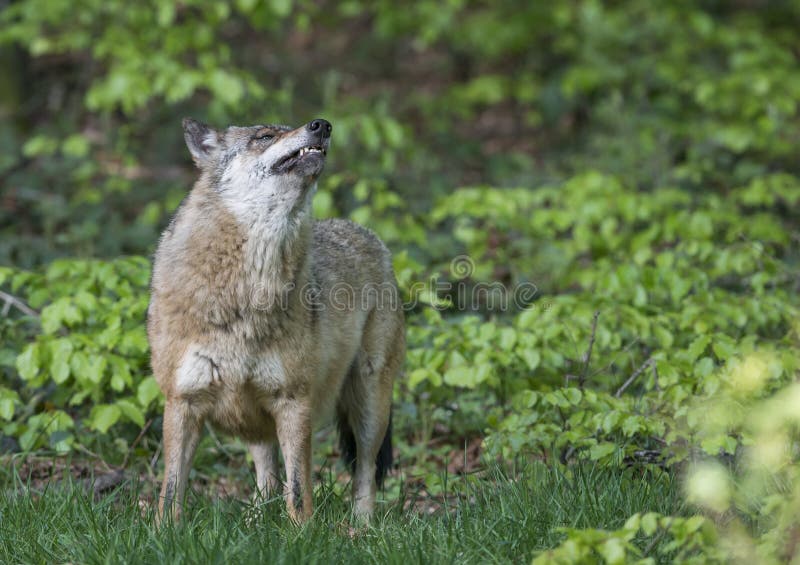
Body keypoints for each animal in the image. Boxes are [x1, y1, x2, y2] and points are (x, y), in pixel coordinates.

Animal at [147, 117, 405, 523]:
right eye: (265, 136)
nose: (322, 124)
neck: (245, 294)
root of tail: (368, 234)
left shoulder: (293, 402)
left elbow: (298, 490)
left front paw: (303, 532)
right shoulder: (181, 402)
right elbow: (171, 490)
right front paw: (164, 531)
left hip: (369, 405)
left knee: (365, 473)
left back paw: (361, 526)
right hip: (254, 414)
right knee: (266, 478)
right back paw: (255, 521)